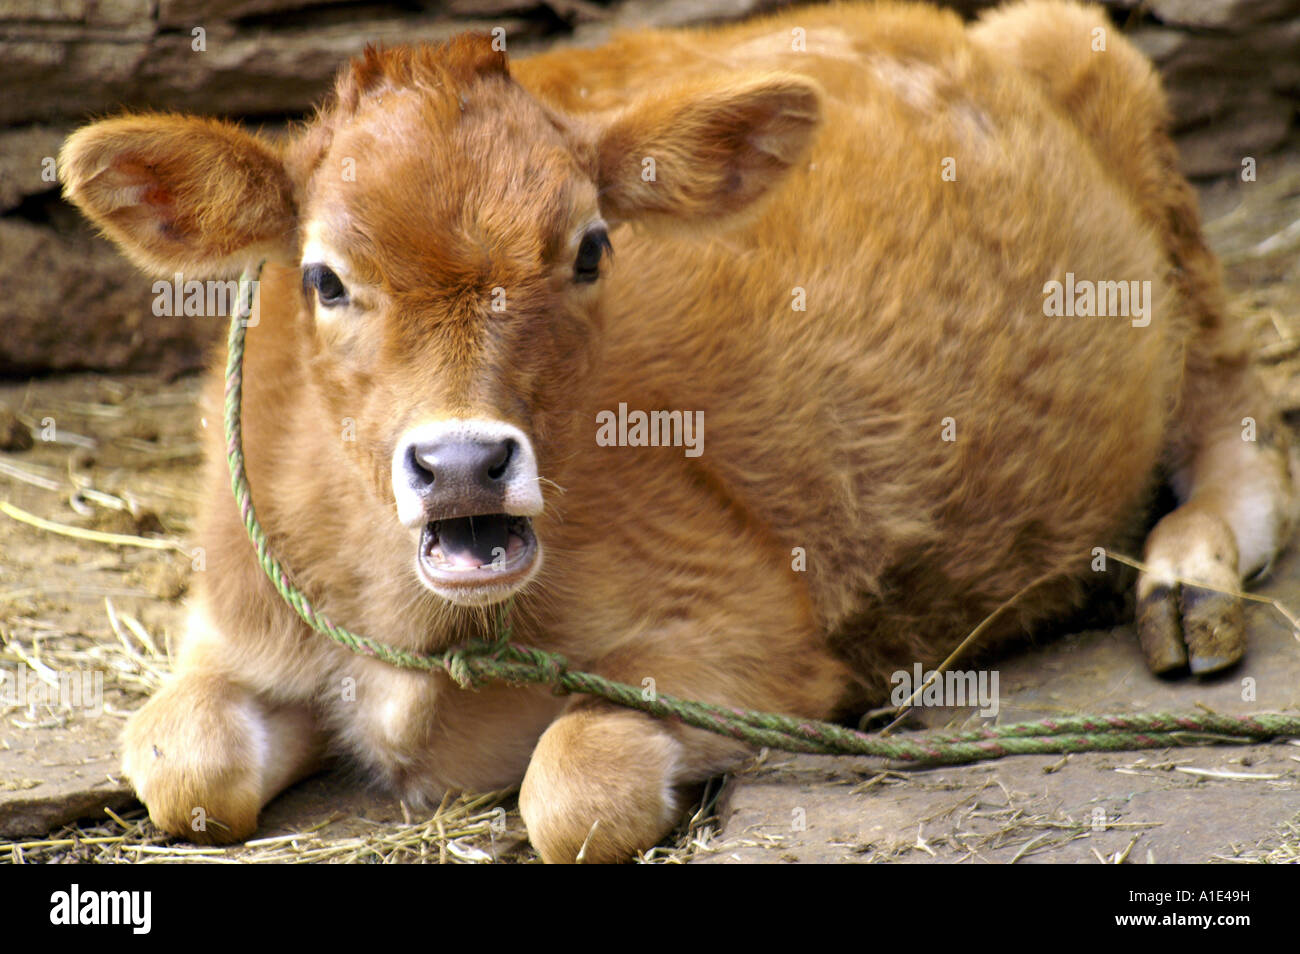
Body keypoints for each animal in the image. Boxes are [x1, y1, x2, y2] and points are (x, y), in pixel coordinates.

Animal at [59, 0, 1294, 863]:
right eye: (324, 277)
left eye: (591, 248)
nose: (464, 463)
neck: (415, 633)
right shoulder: (229, 626)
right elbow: (180, 765)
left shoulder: (758, 641)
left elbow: (573, 785)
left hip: (1138, 153)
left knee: (1240, 418)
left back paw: (1187, 582)